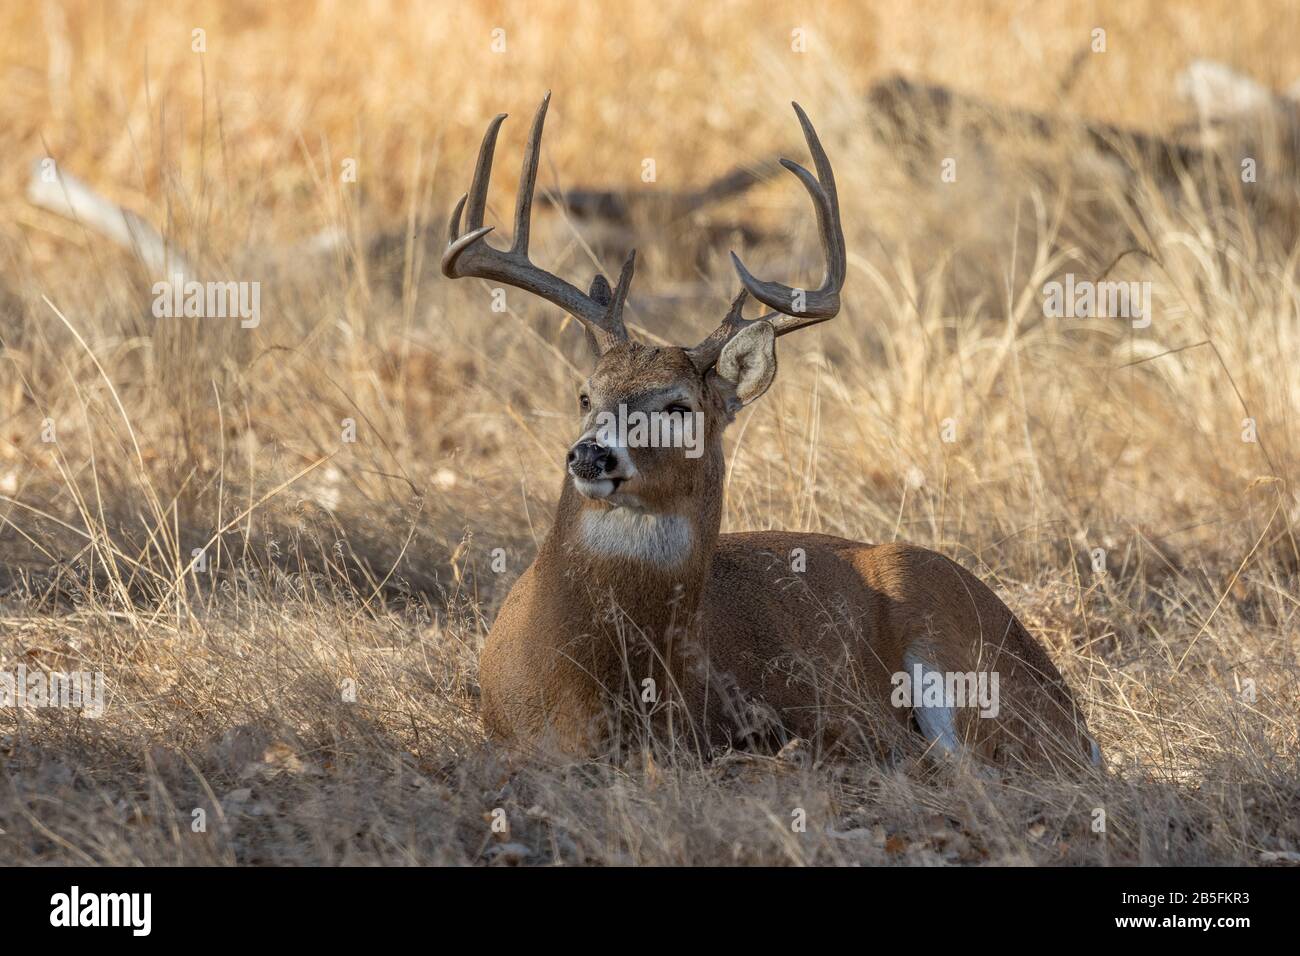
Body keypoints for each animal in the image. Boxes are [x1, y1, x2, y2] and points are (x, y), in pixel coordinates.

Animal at [442, 93, 1102, 772]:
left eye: (678, 406)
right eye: (585, 395)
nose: (590, 456)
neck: (582, 692)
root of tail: (1079, 722)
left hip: (958, 657)